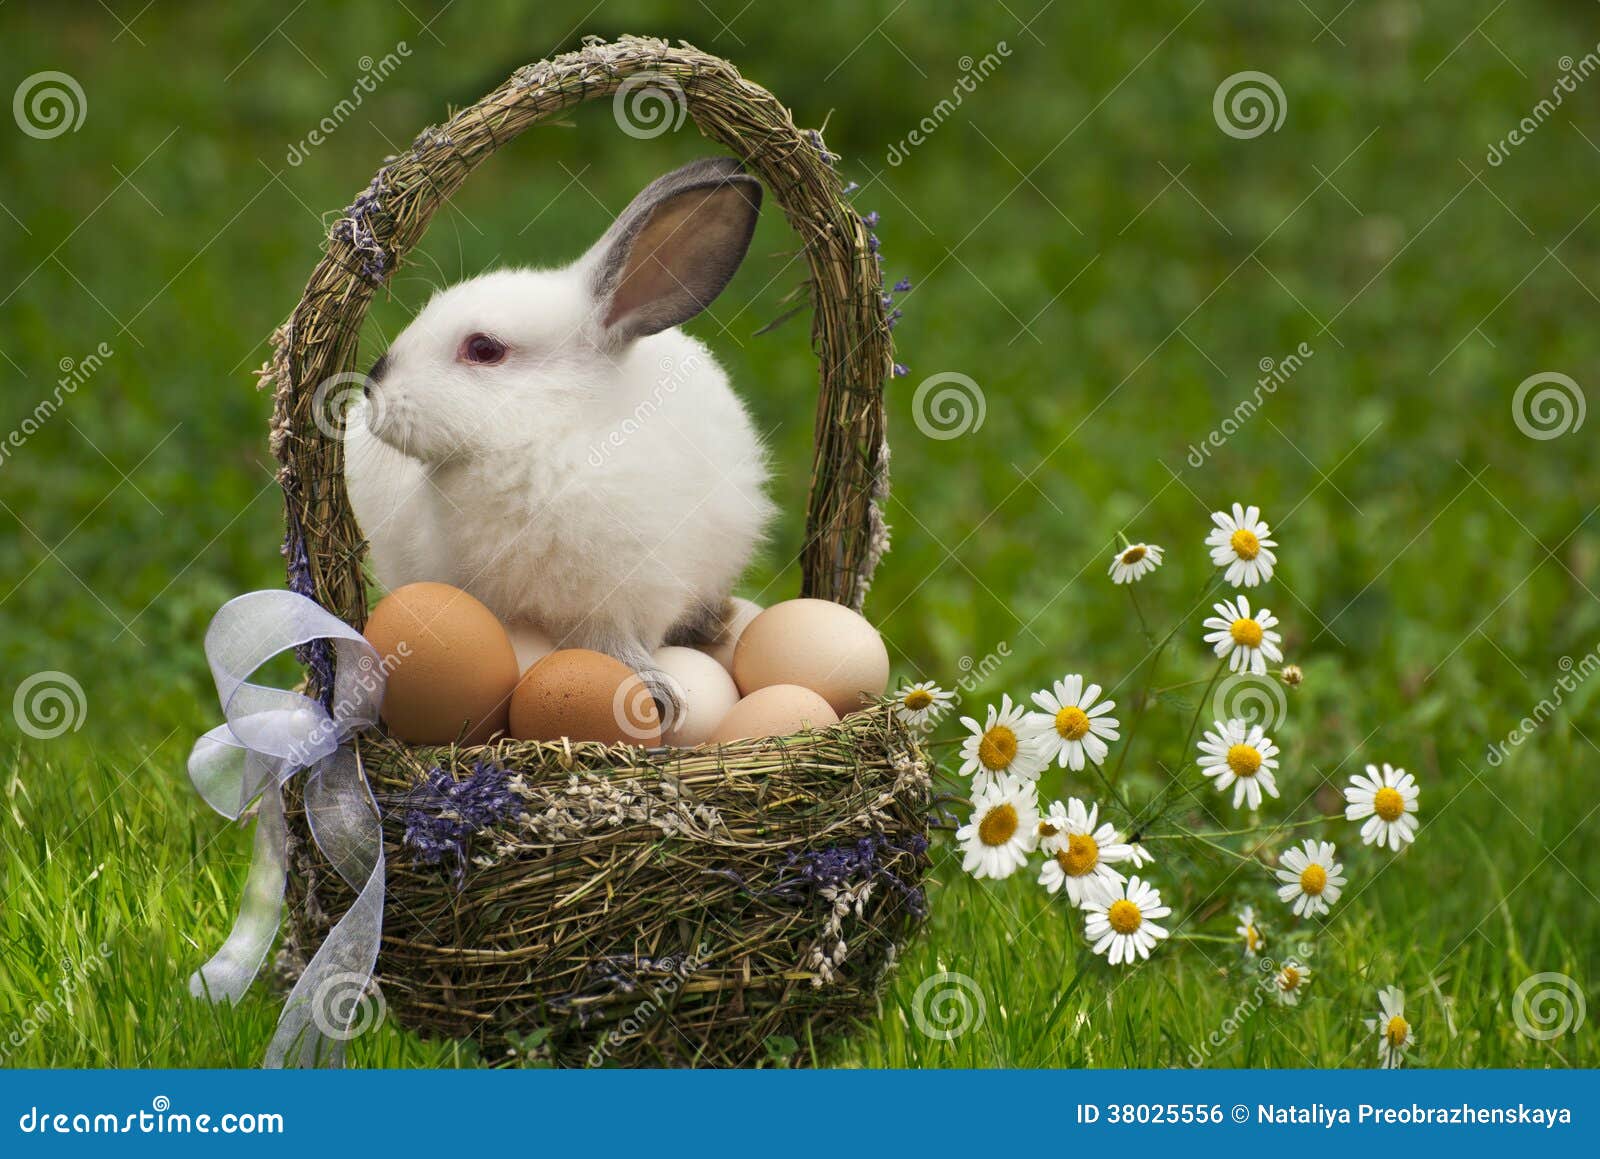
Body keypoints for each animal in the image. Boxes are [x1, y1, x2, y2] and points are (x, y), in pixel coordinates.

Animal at [343, 157, 774, 709]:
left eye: (484, 349)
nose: (372, 390)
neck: (544, 439)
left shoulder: (626, 598)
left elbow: (617, 642)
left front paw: (655, 688)